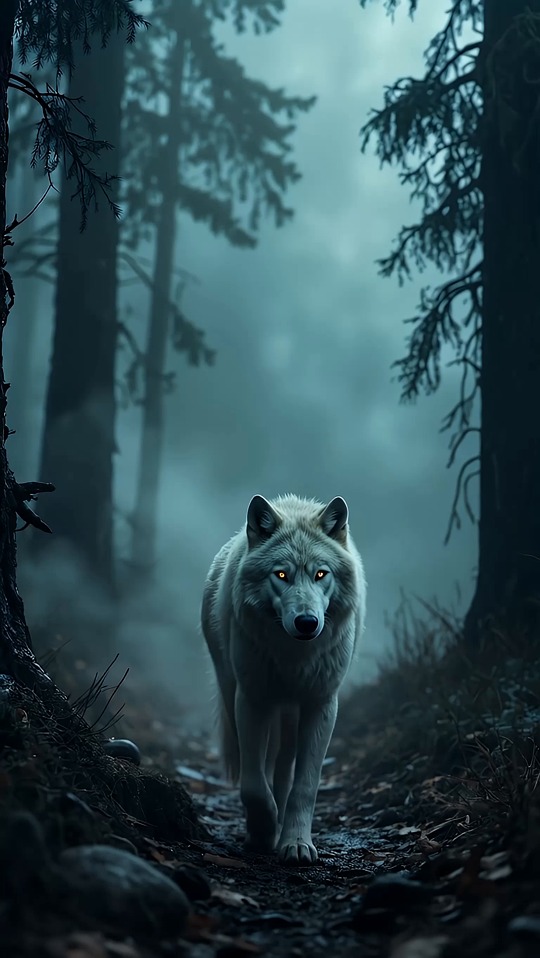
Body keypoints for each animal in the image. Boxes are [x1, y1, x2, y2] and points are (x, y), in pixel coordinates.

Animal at [201, 494, 366, 865]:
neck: (293, 656)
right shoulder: (251, 699)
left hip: (292, 715)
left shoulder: (321, 705)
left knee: (284, 768)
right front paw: (263, 831)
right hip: (234, 691)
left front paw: (296, 843)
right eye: (281, 574)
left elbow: (305, 785)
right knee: (264, 764)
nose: (307, 622)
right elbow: (252, 783)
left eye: (320, 574)